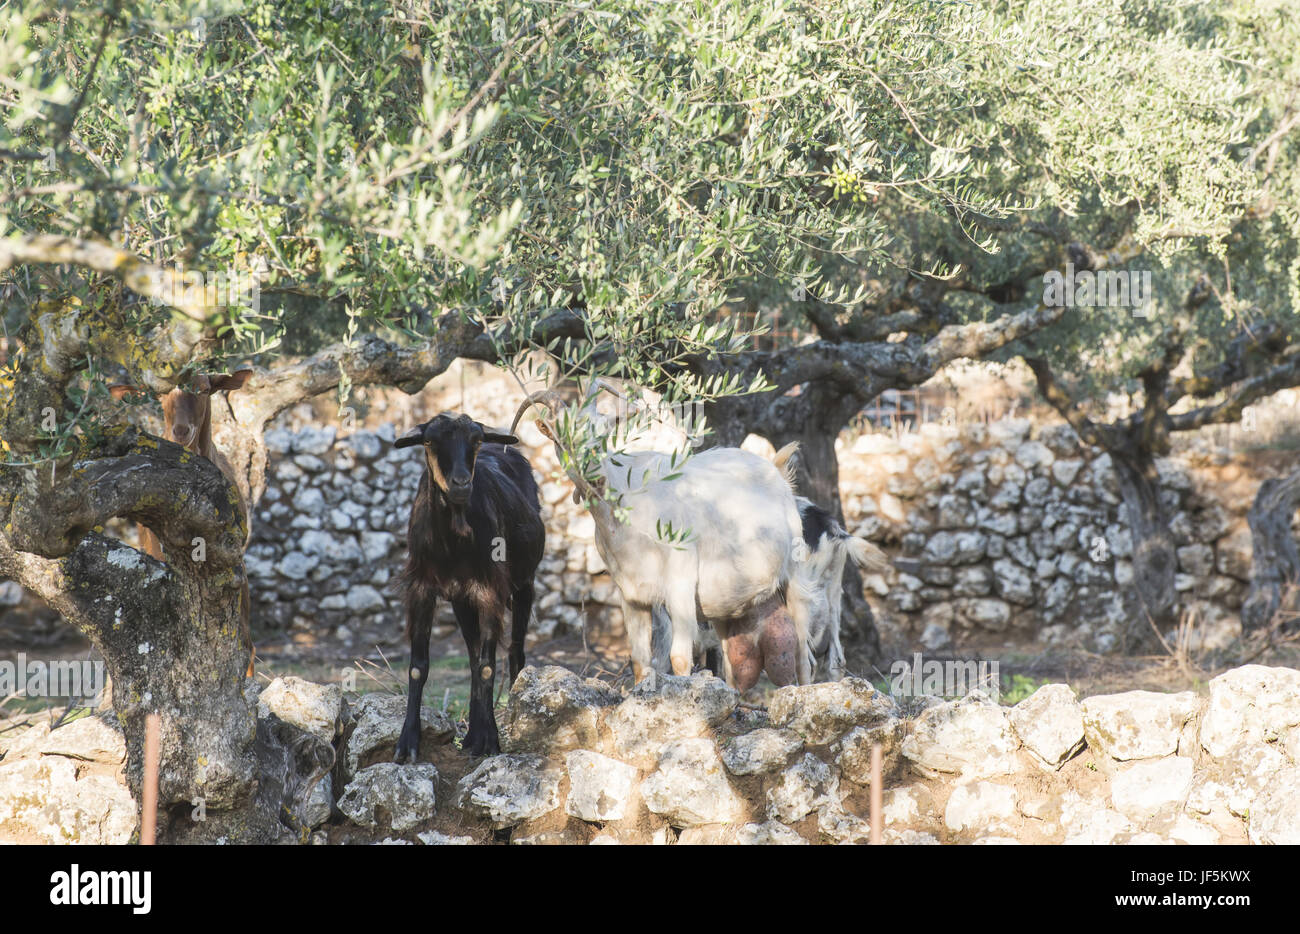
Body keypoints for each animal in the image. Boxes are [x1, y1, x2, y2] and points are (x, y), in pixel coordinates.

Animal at [394, 413, 544, 760]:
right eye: (430, 441)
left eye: (475, 440)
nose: (461, 484)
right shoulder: (423, 588)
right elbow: (419, 667)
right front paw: (407, 743)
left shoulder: (490, 590)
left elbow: (489, 666)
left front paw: (491, 741)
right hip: (461, 600)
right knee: (474, 656)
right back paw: (473, 733)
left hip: (523, 583)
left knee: (514, 654)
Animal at [512, 387, 813, 691]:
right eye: (561, 438)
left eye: (603, 435)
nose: (596, 478)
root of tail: (776, 470)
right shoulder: (631, 596)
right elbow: (639, 662)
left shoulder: (680, 587)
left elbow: (679, 658)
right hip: (726, 607)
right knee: (731, 660)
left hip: (795, 575)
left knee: (803, 653)